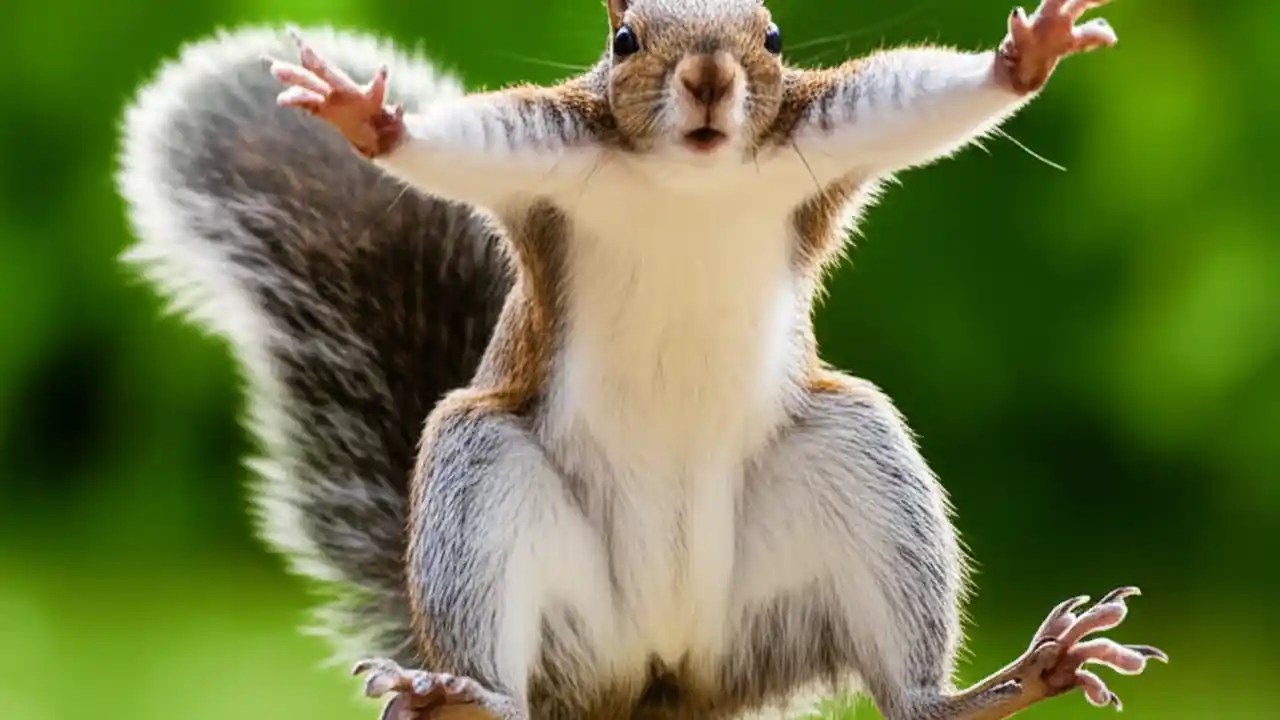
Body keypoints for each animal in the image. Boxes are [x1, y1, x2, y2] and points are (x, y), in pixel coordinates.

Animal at [116, 1, 1167, 718]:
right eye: (624, 38)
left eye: (773, 36)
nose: (707, 78)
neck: (685, 178)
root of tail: (661, 679)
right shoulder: (541, 155)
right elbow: (452, 145)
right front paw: (365, 117)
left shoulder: (821, 135)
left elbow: (918, 104)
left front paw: (1027, 55)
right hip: (490, 495)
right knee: (507, 678)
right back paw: (462, 696)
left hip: (845, 471)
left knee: (909, 702)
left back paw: (1019, 677)